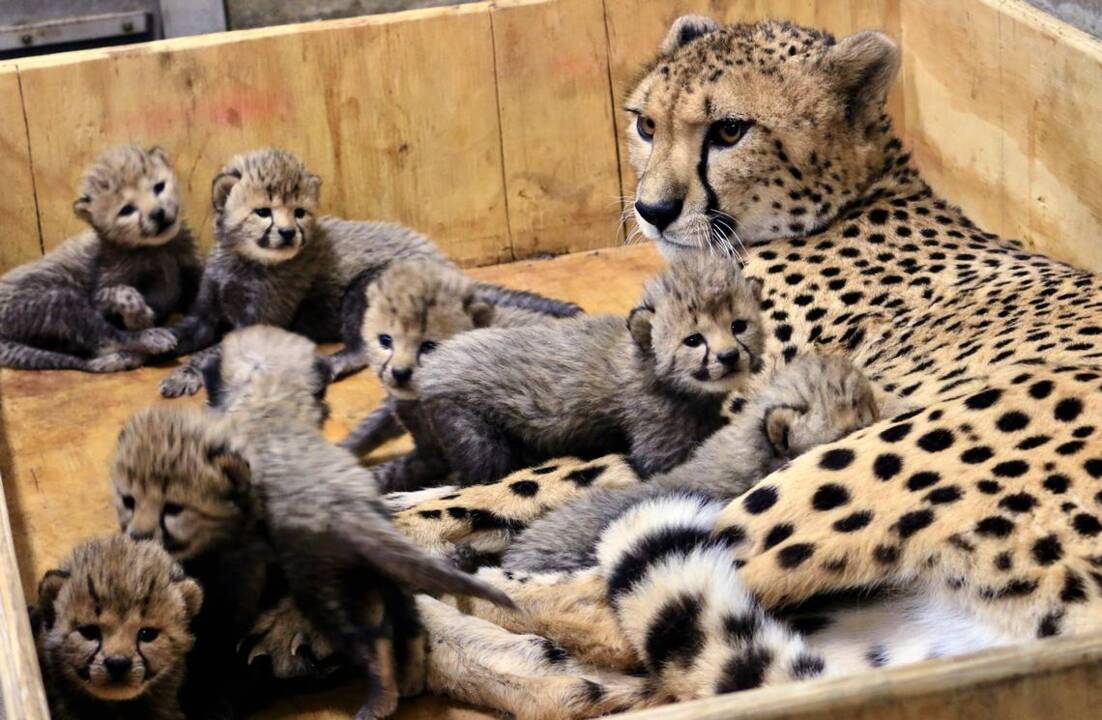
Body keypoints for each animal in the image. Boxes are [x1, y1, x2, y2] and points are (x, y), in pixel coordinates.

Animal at [392, 13, 1102, 699]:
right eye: (646, 124)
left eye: (729, 130)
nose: (653, 209)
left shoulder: (712, 431)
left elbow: (536, 480)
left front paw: (408, 519)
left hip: (863, 461)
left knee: (606, 601)